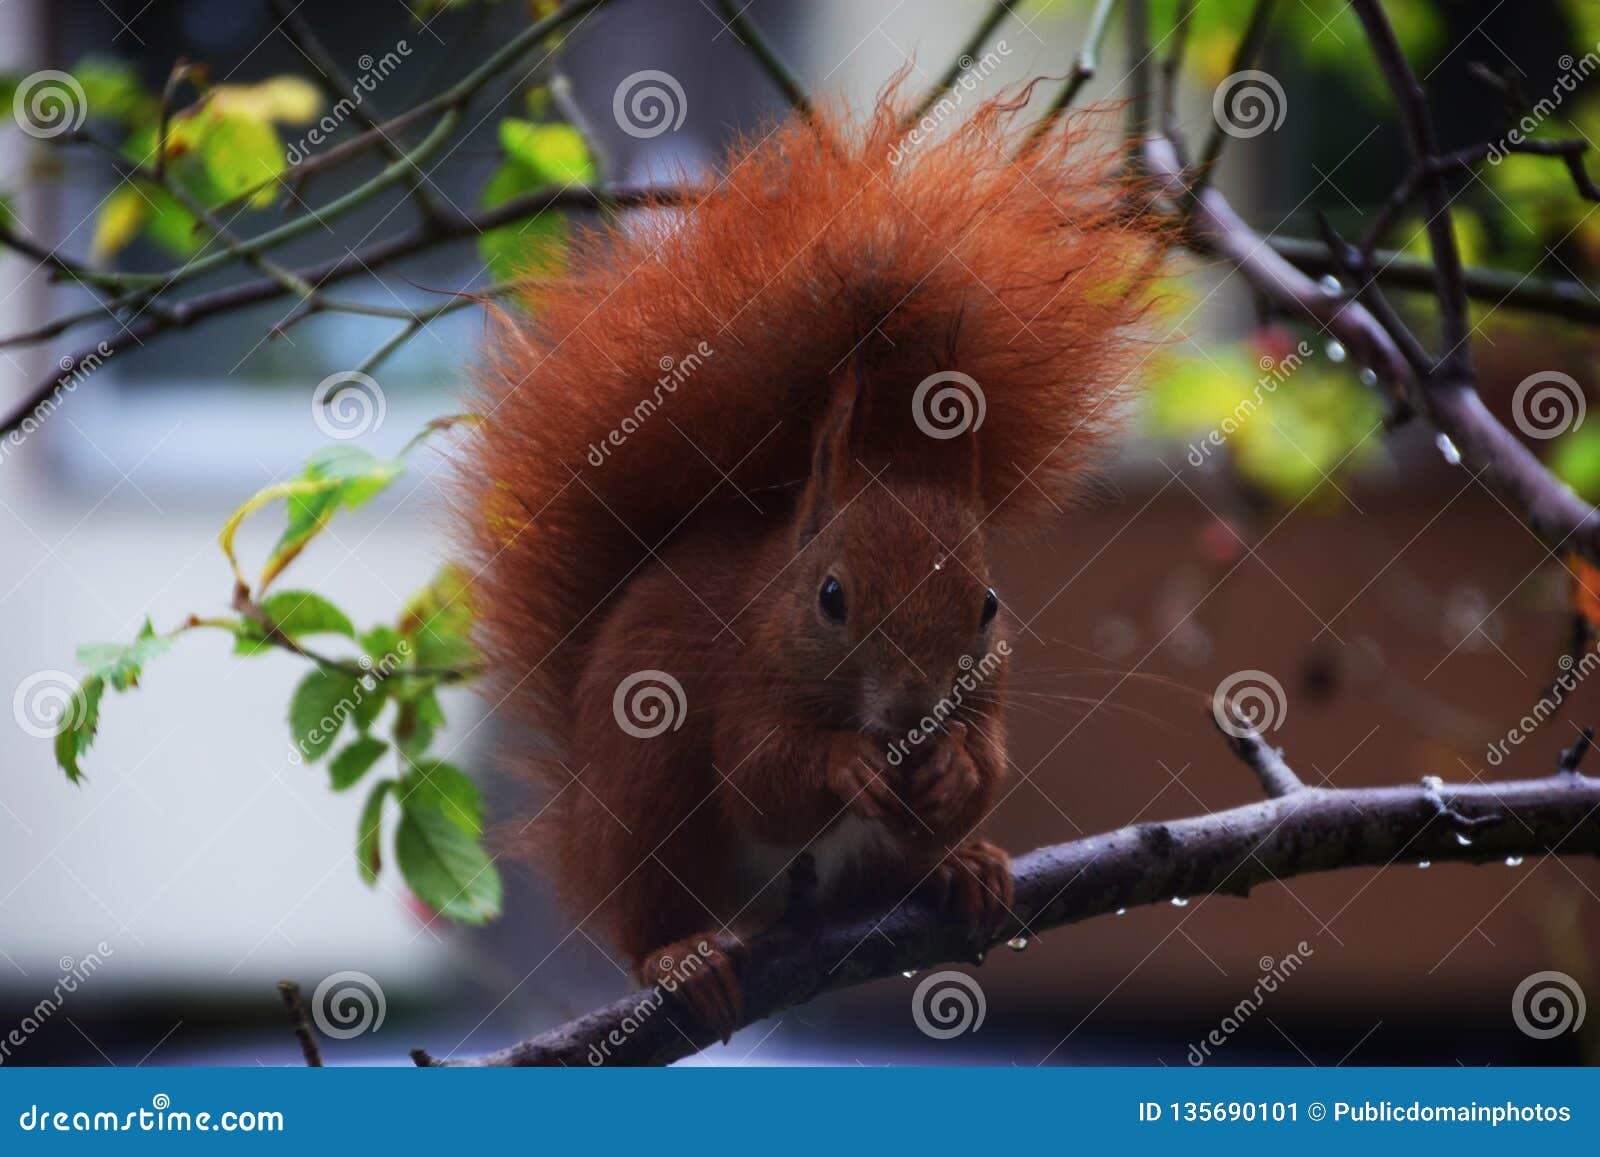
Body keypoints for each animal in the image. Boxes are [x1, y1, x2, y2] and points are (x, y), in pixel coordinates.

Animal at [462, 91, 1165, 1041]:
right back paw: (682, 955)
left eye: (987, 604)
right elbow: (760, 779)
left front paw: (954, 769)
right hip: (644, 796)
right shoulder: (744, 677)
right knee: (648, 905)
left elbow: (987, 764)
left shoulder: (990, 689)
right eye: (832, 597)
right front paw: (846, 764)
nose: (911, 712)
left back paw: (961, 867)